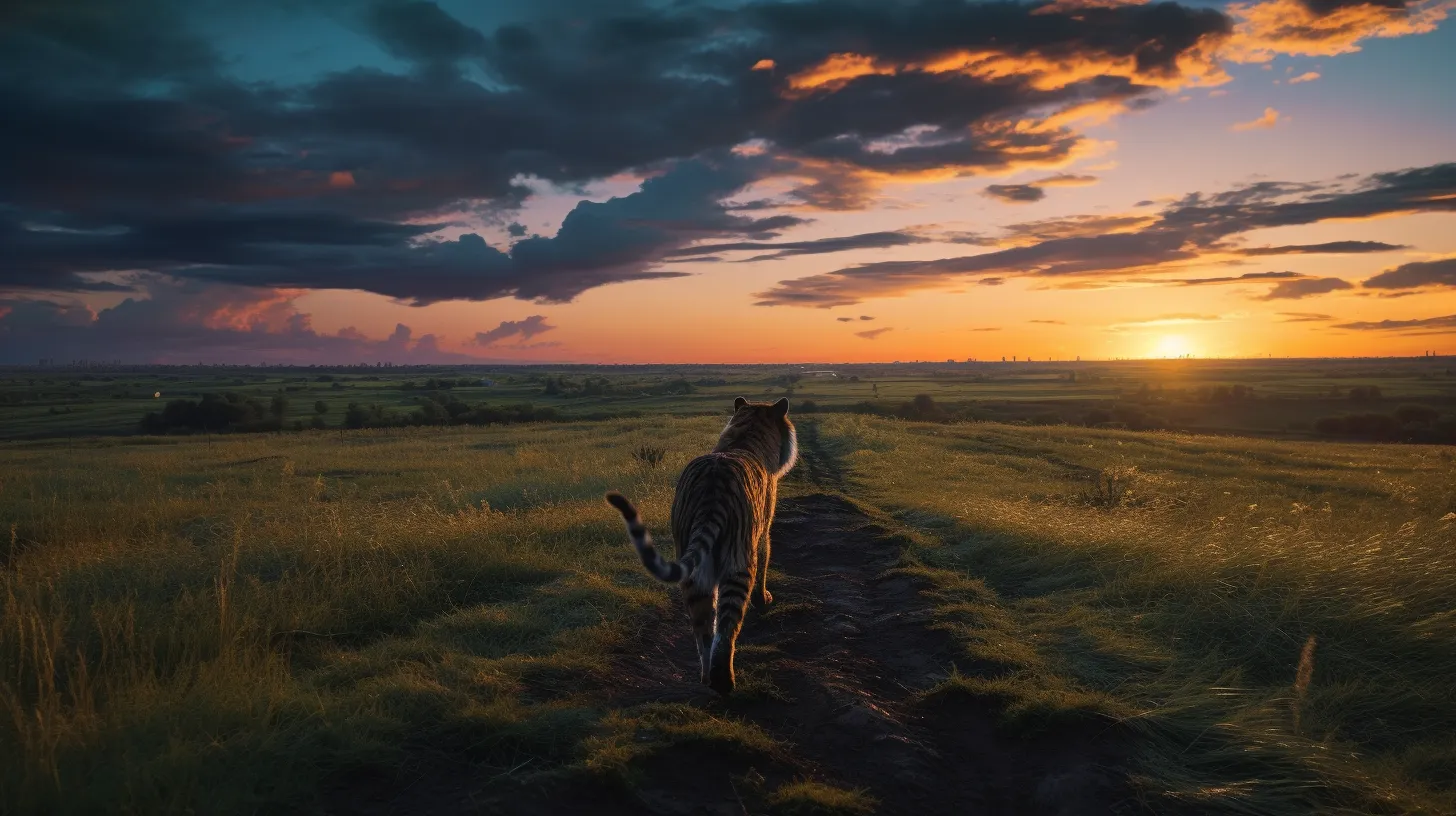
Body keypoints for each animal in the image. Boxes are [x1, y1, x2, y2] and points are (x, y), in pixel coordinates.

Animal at [605, 396, 797, 696]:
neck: (744, 437)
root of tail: (713, 486)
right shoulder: (763, 532)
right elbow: (766, 560)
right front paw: (763, 598)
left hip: (694, 567)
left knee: (703, 630)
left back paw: (708, 678)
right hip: (738, 562)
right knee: (727, 625)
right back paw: (724, 681)